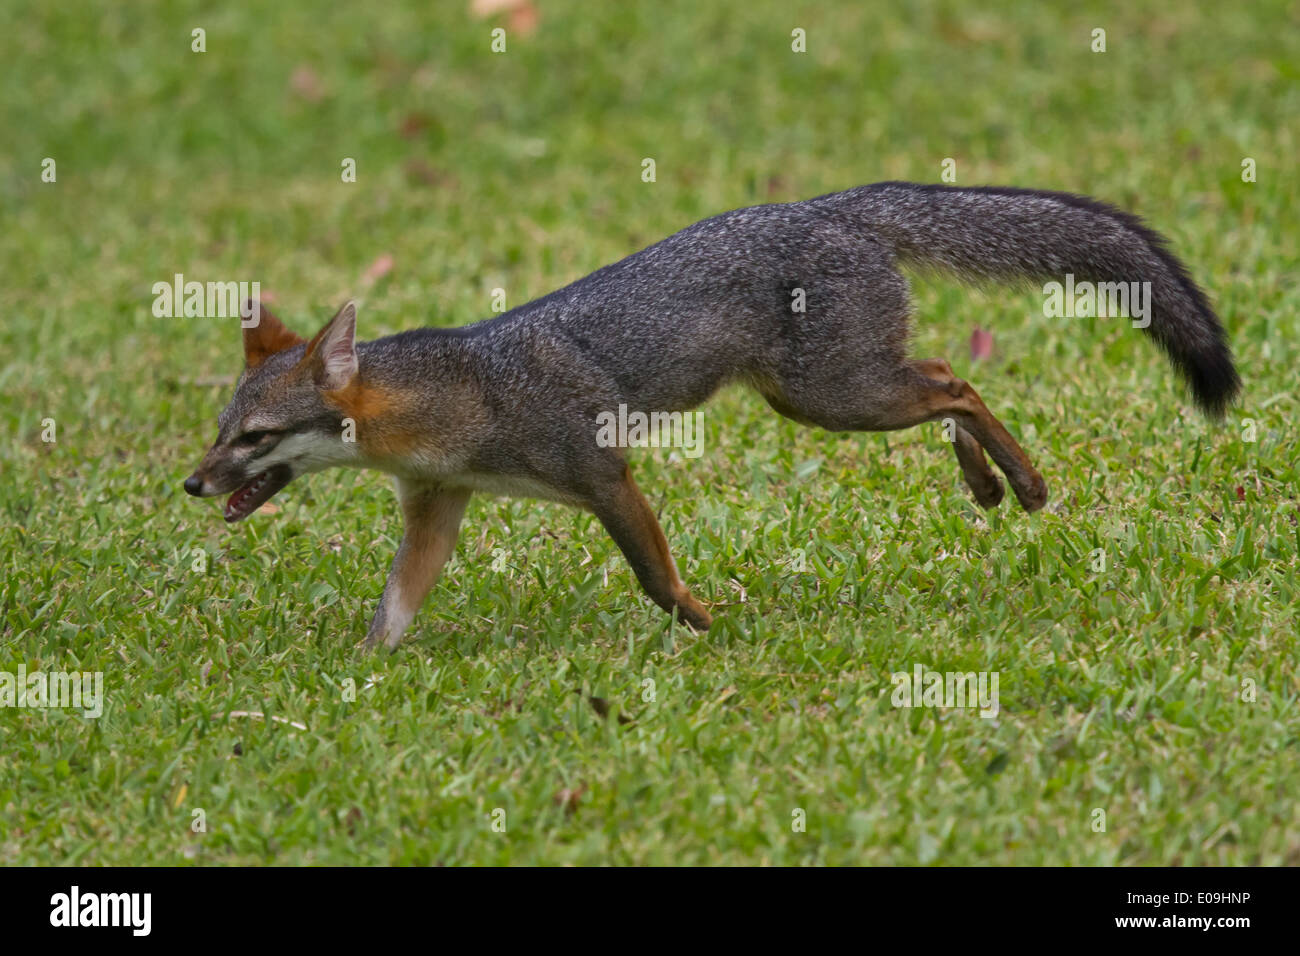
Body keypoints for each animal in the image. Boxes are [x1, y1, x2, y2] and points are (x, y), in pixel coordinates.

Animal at [184, 182, 1239, 650]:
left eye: (253, 439)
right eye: (220, 432)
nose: (191, 483)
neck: (459, 389)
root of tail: (835, 204)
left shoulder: (604, 475)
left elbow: (654, 578)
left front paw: (703, 622)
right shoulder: (438, 508)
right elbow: (394, 608)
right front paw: (367, 672)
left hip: (833, 399)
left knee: (954, 383)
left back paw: (1017, 479)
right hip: (832, 393)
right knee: (946, 373)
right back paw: (985, 481)